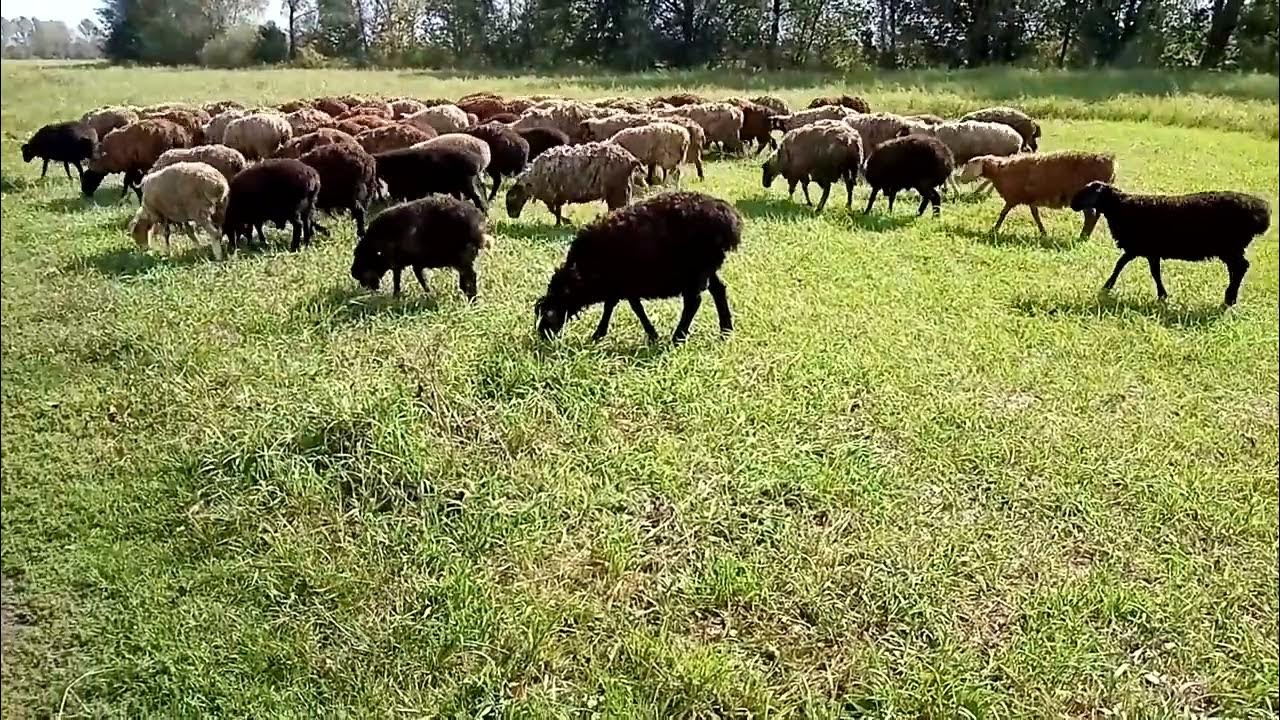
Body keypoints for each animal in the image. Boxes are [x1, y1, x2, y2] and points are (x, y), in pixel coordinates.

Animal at [350, 195, 488, 299]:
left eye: (364, 259)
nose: (354, 272)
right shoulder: (416, 263)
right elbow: (419, 277)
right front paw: (428, 292)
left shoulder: (397, 262)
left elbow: (397, 279)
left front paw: (396, 296)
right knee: (466, 279)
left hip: (463, 259)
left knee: (471, 278)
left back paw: (472, 298)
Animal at [506, 142, 643, 226]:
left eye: (511, 200)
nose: (512, 216)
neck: (533, 180)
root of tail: (631, 159)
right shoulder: (557, 195)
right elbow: (556, 210)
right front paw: (560, 223)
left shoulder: (552, 194)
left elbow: (554, 211)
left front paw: (565, 222)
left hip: (618, 189)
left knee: (618, 207)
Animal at [535, 191, 741, 344]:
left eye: (552, 309)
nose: (543, 333)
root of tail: (730, 218)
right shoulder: (618, 284)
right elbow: (614, 306)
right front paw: (600, 334)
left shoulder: (623, 282)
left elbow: (633, 307)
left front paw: (651, 334)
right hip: (708, 267)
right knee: (718, 290)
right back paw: (725, 331)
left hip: (695, 269)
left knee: (693, 301)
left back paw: (678, 337)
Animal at [957, 151, 1116, 237]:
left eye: (968, 166)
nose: (960, 178)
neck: (1000, 171)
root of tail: (1110, 163)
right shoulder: (1029, 199)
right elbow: (1036, 215)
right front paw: (1043, 232)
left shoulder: (1013, 197)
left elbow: (1003, 213)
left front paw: (993, 230)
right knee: (1094, 216)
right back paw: (1084, 236)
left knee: (1090, 216)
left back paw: (1082, 236)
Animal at [1070, 182, 1270, 306]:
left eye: (1088, 191)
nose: (1072, 203)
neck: (1120, 207)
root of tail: (1262, 212)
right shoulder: (1148, 250)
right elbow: (1151, 272)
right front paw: (1162, 295)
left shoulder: (1139, 247)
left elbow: (1121, 265)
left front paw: (1107, 286)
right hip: (1231, 248)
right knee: (1237, 269)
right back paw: (1230, 297)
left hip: (1230, 247)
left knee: (1241, 268)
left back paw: (1229, 298)